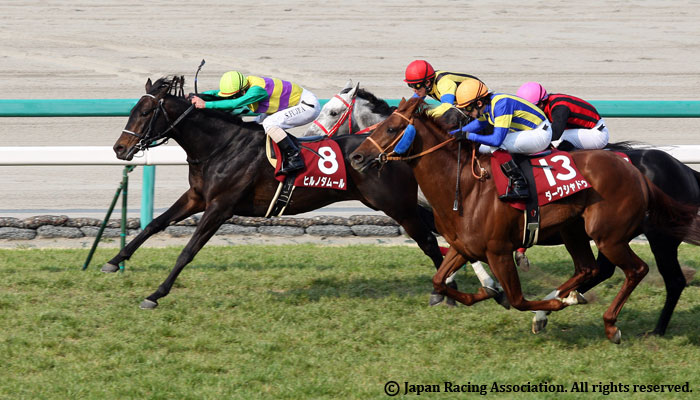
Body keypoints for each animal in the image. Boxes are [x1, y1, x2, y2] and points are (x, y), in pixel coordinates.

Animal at [107, 76, 448, 309]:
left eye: (146, 112)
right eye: (133, 109)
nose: (120, 148)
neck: (222, 145)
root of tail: (396, 148)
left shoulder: (220, 206)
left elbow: (188, 251)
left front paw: (155, 294)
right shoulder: (197, 197)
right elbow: (155, 224)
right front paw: (114, 260)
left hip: (398, 206)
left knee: (431, 242)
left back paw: (442, 293)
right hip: (398, 205)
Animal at [315, 82, 700, 336]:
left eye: (393, 128)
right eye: (379, 125)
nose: (355, 157)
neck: (464, 185)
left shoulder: (498, 250)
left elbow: (517, 298)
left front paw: (525, 301)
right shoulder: (463, 244)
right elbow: (442, 278)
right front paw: (483, 293)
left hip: (625, 235)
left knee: (644, 272)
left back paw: (625, 325)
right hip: (580, 232)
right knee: (593, 269)